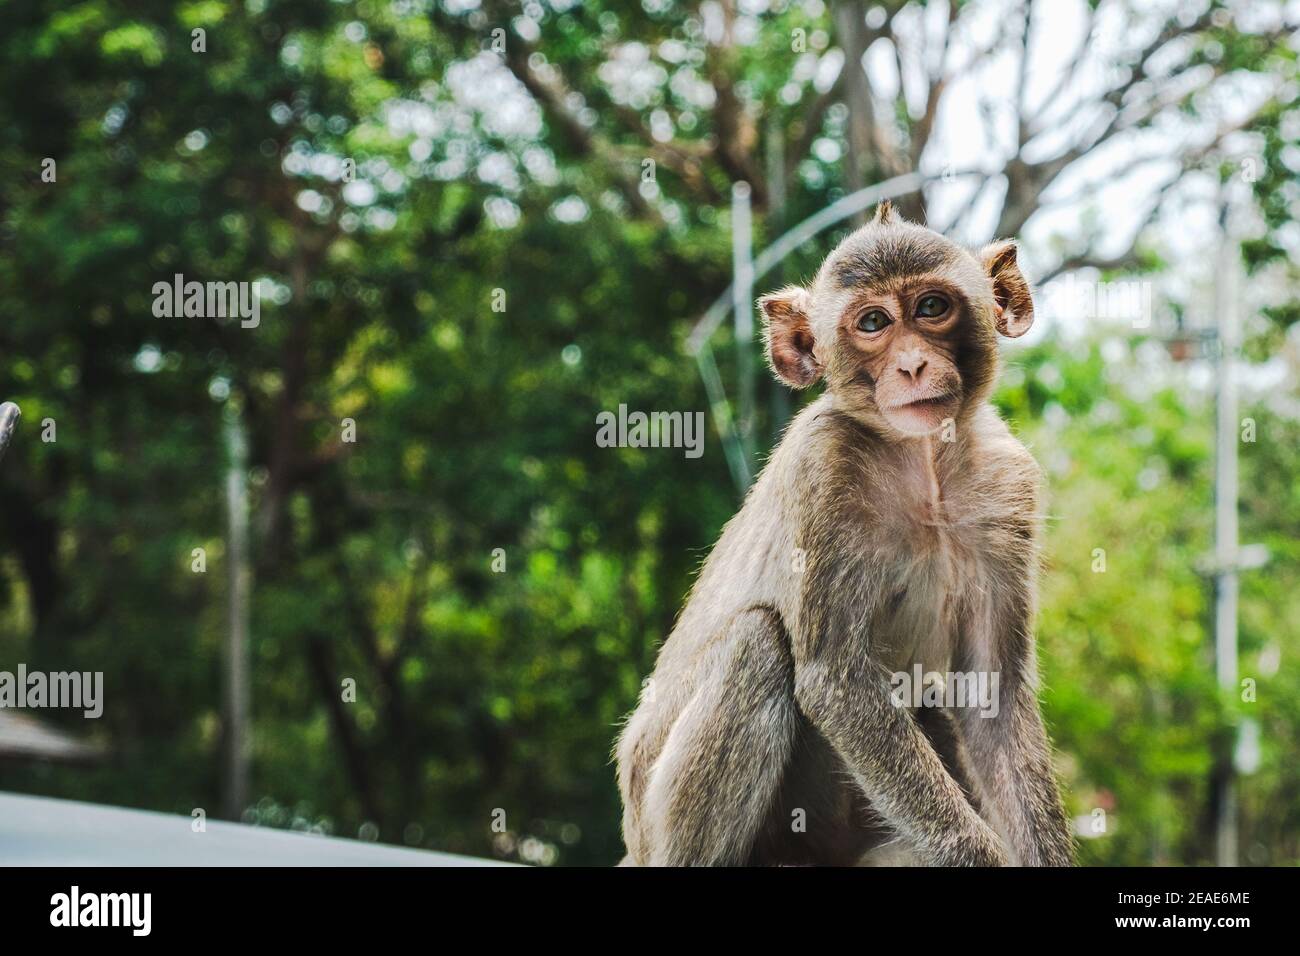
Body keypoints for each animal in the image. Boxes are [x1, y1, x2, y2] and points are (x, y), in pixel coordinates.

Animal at [614, 201, 1074, 867]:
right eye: (874, 322)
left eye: (931, 307)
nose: (911, 365)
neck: (924, 465)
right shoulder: (822, 467)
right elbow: (835, 679)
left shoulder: (1009, 486)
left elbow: (994, 693)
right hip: (654, 818)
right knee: (758, 643)